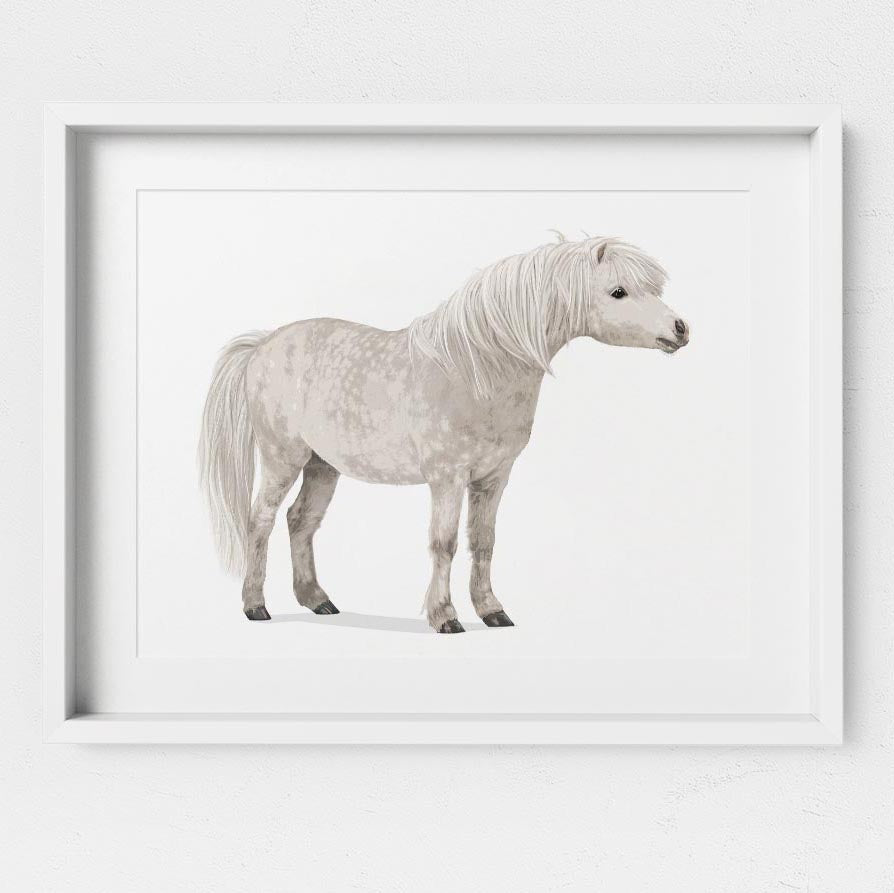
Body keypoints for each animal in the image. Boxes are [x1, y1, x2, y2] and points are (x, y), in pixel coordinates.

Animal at [198, 236, 689, 633]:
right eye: (618, 291)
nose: (681, 330)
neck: (476, 369)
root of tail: (263, 345)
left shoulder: (493, 478)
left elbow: (484, 542)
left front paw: (492, 611)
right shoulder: (447, 478)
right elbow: (444, 543)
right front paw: (446, 617)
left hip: (323, 465)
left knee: (301, 520)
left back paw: (318, 600)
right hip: (282, 458)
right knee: (260, 520)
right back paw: (255, 606)